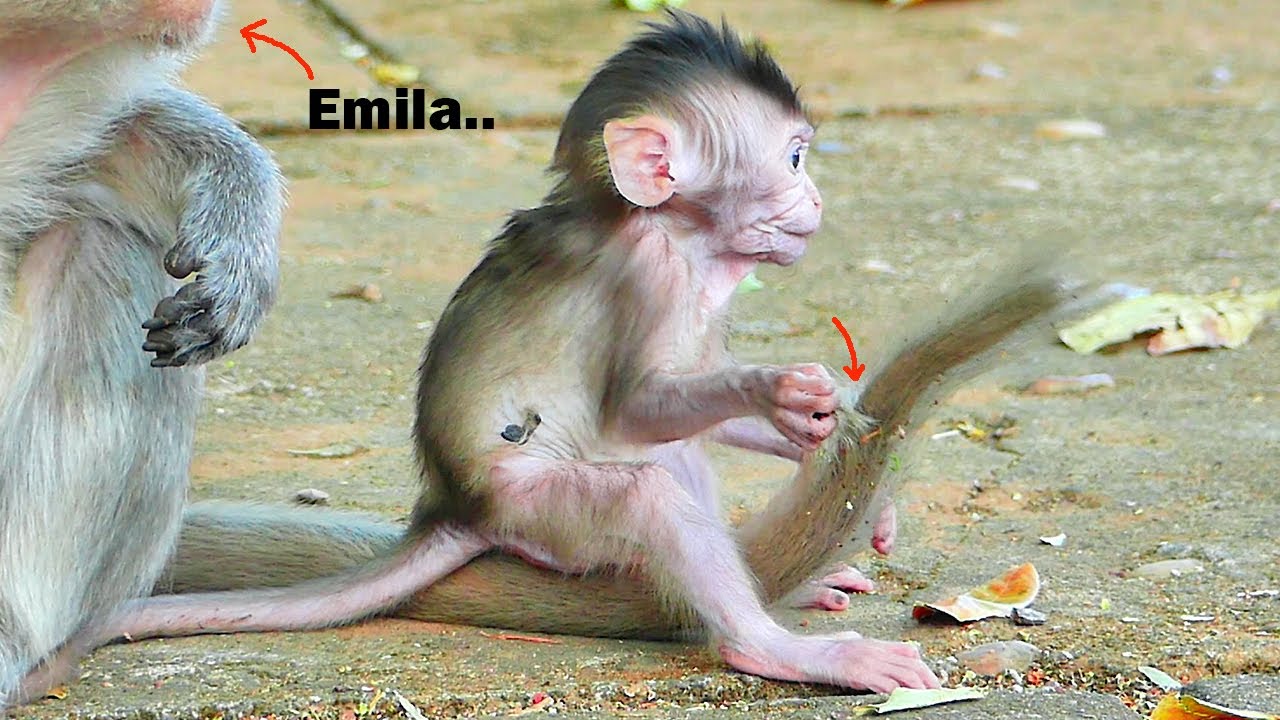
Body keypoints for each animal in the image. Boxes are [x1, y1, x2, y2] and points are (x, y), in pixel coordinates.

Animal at [23, 10, 1065, 701]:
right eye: (796, 157)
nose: (815, 200)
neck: (682, 237)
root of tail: (453, 506)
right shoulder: (648, 275)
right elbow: (639, 403)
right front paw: (781, 394)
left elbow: (686, 406)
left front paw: (818, 442)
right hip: (540, 506)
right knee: (645, 495)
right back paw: (768, 644)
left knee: (674, 469)